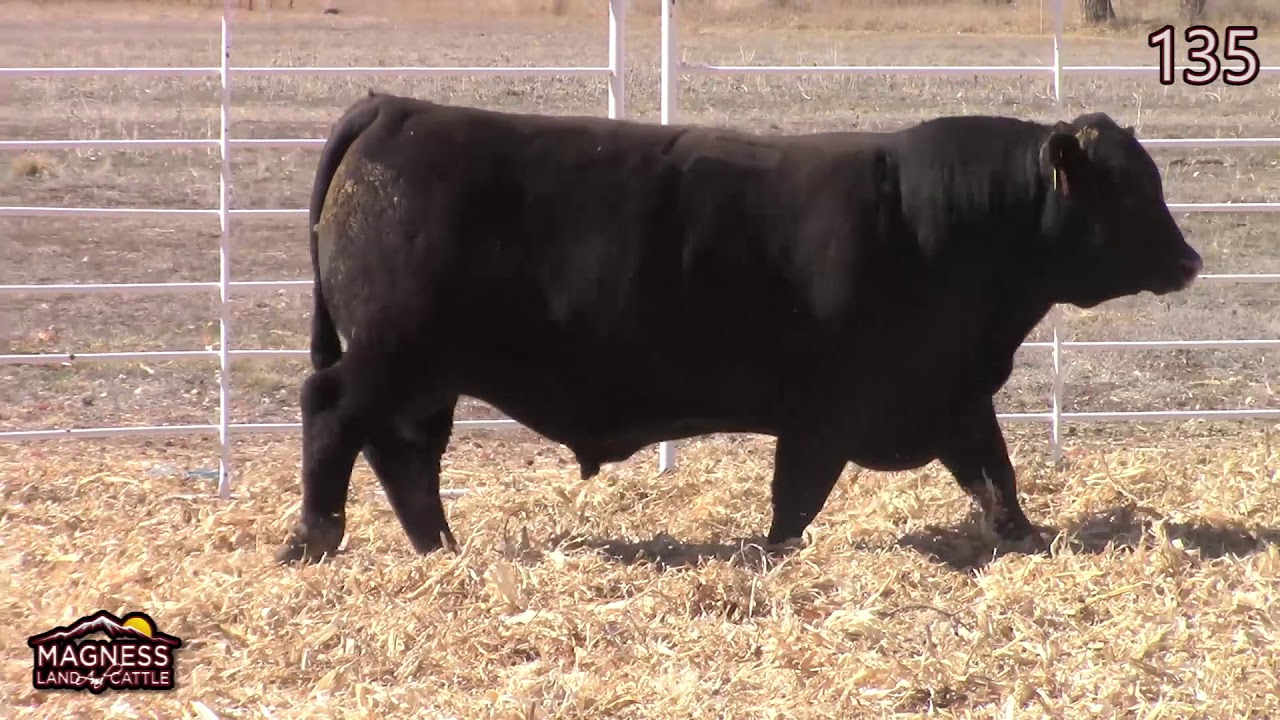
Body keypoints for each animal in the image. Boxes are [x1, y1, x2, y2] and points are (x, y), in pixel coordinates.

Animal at [276, 90, 1202, 565]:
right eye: (1127, 190)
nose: (1189, 259)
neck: (942, 224)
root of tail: (399, 108)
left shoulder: (951, 394)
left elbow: (994, 476)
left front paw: (1028, 537)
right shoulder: (827, 411)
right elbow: (797, 498)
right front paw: (771, 555)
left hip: (425, 375)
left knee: (405, 455)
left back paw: (440, 547)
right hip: (391, 354)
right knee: (332, 413)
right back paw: (313, 539)